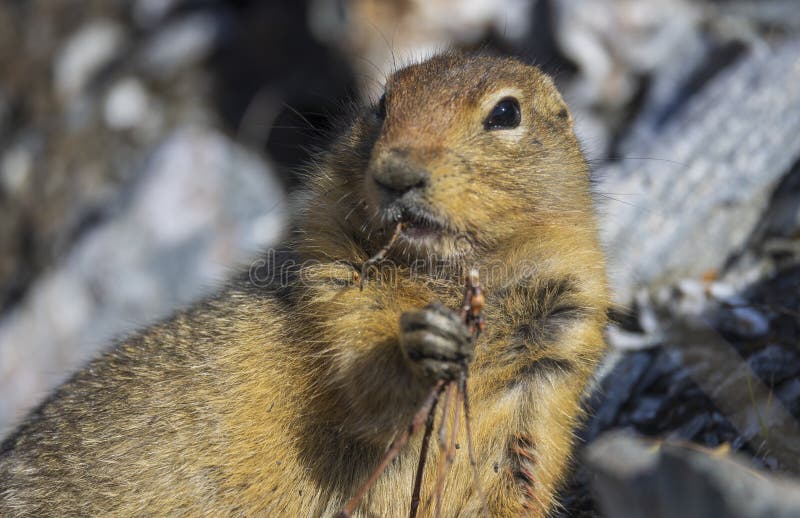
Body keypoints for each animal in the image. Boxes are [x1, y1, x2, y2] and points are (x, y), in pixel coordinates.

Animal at [0, 53, 608, 517]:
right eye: (382, 103)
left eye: (506, 112)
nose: (396, 173)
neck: (454, 274)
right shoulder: (336, 293)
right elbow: (366, 381)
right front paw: (424, 344)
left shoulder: (556, 364)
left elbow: (523, 471)